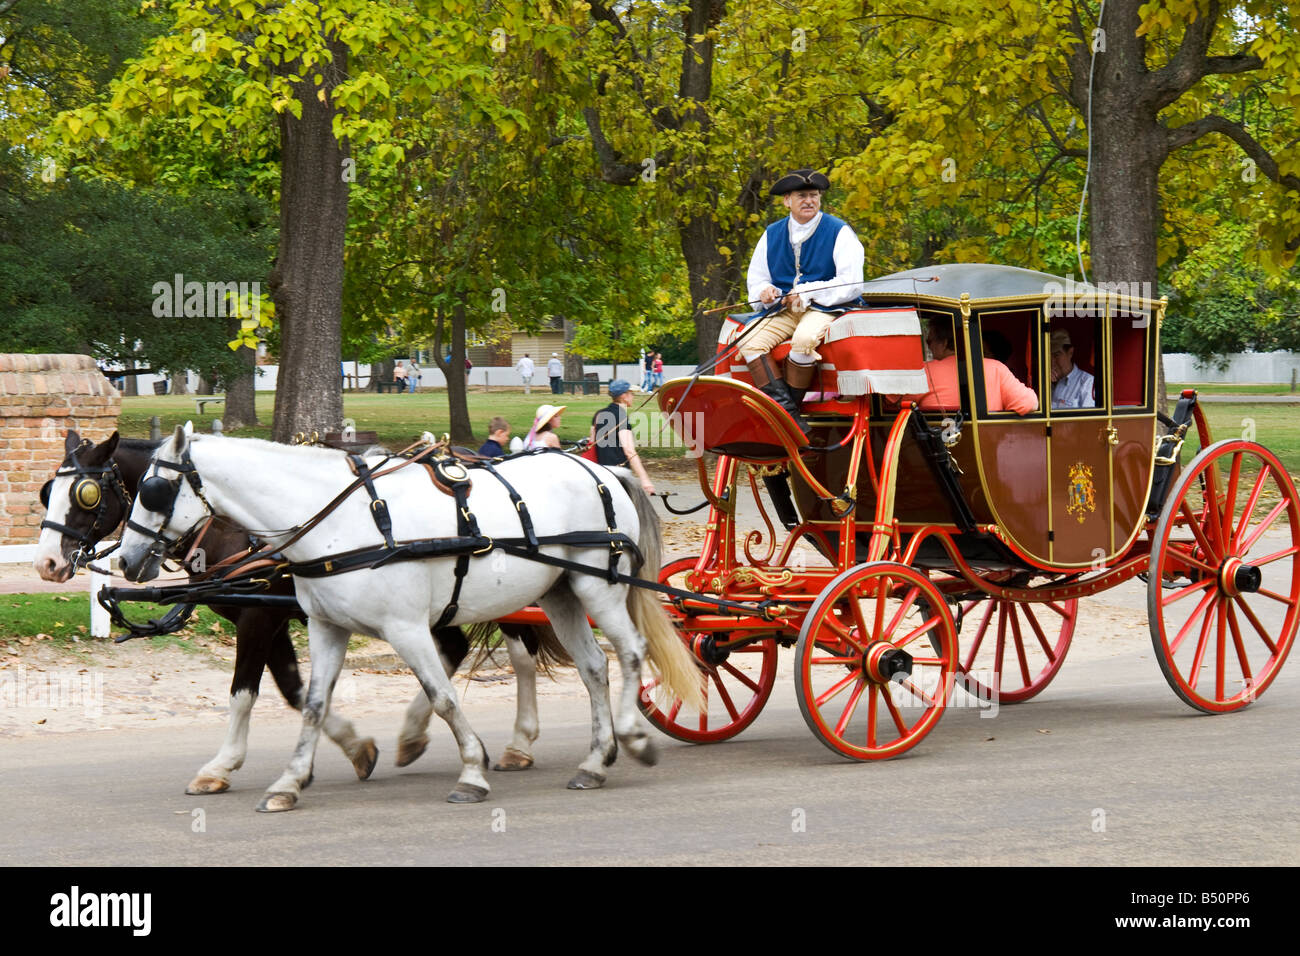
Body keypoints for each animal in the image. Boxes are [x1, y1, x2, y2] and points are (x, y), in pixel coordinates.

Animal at [32, 429, 567, 794]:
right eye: (47, 492)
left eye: (86, 494)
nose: (48, 563)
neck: (237, 528)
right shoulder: (263, 614)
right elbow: (293, 690)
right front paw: (355, 748)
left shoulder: (259, 618)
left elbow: (244, 693)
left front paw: (221, 766)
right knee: (469, 648)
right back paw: (425, 737)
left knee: (518, 656)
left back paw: (517, 742)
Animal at [115, 426, 702, 809]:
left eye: (153, 490)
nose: (124, 560)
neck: (342, 522)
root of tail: (600, 466)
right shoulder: (326, 628)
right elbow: (312, 704)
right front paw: (291, 781)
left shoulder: (403, 628)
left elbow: (443, 696)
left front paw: (471, 771)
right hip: (559, 594)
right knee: (593, 668)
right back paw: (594, 760)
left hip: (597, 586)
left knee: (629, 653)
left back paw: (630, 737)